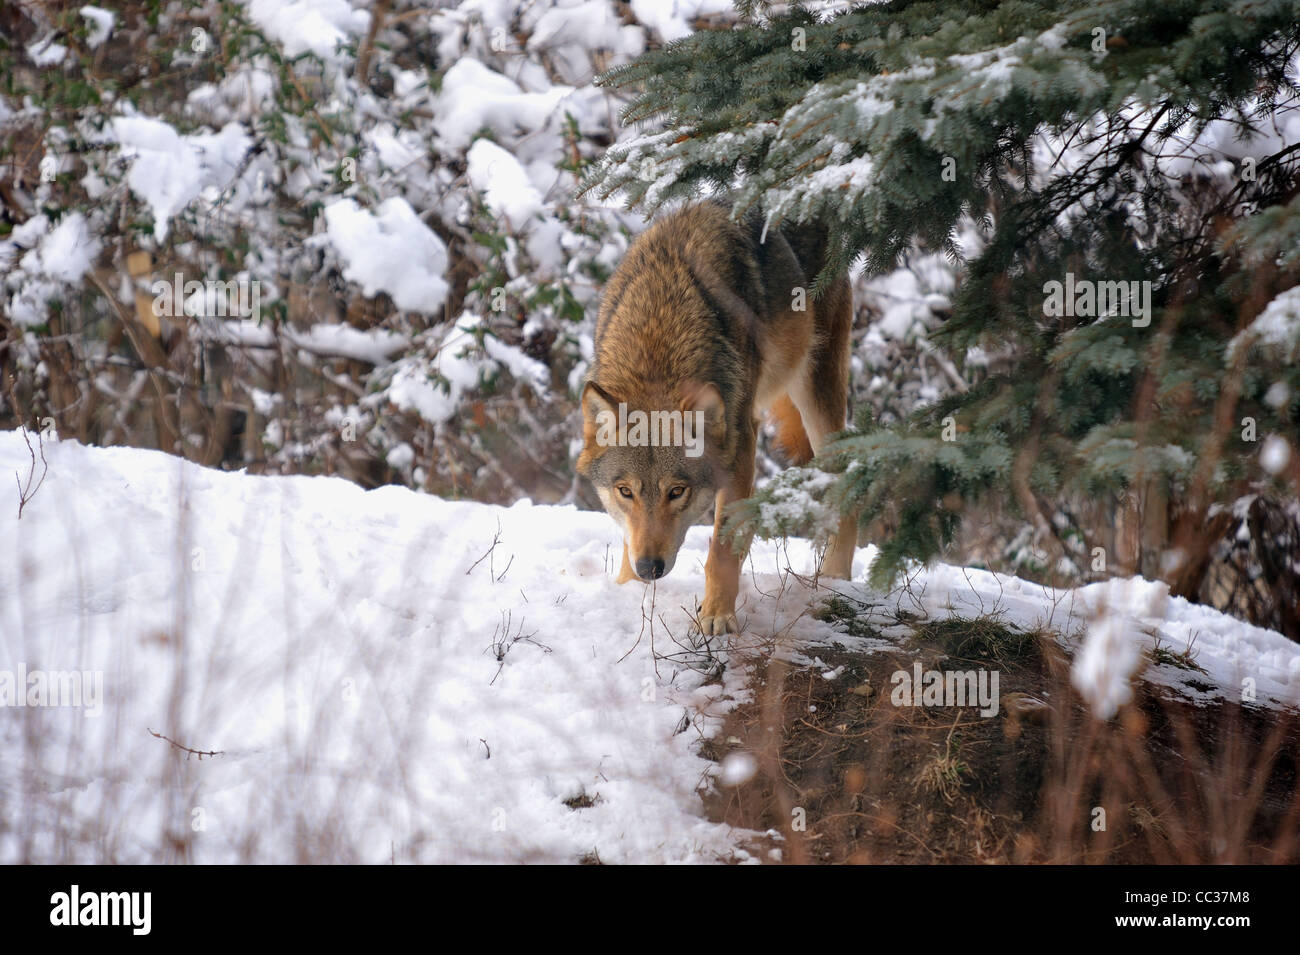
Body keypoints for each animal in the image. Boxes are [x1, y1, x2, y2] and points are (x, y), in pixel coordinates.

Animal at [576, 201, 858, 635]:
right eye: (625, 492)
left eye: (677, 491)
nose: (649, 568)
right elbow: (627, 538)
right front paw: (627, 590)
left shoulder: (740, 451)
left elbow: (722, 549)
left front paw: (716, 616)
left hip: (816, 396)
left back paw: (834, 580)